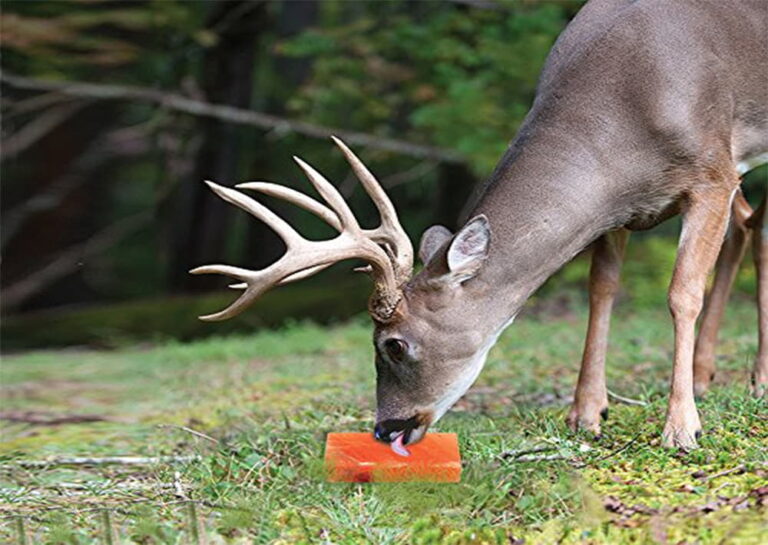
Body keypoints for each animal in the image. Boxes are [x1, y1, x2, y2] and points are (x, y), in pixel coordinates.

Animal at [192, 0, 767, 450]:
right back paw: (713, 374)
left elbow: (681, 293)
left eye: (392, 344)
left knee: (753, 230)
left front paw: (681, 428)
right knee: (748, 226)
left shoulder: (710, 173)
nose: (386, 428)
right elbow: (601, 289)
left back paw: (750, 380)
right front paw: (586, 413)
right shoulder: (622, 208)